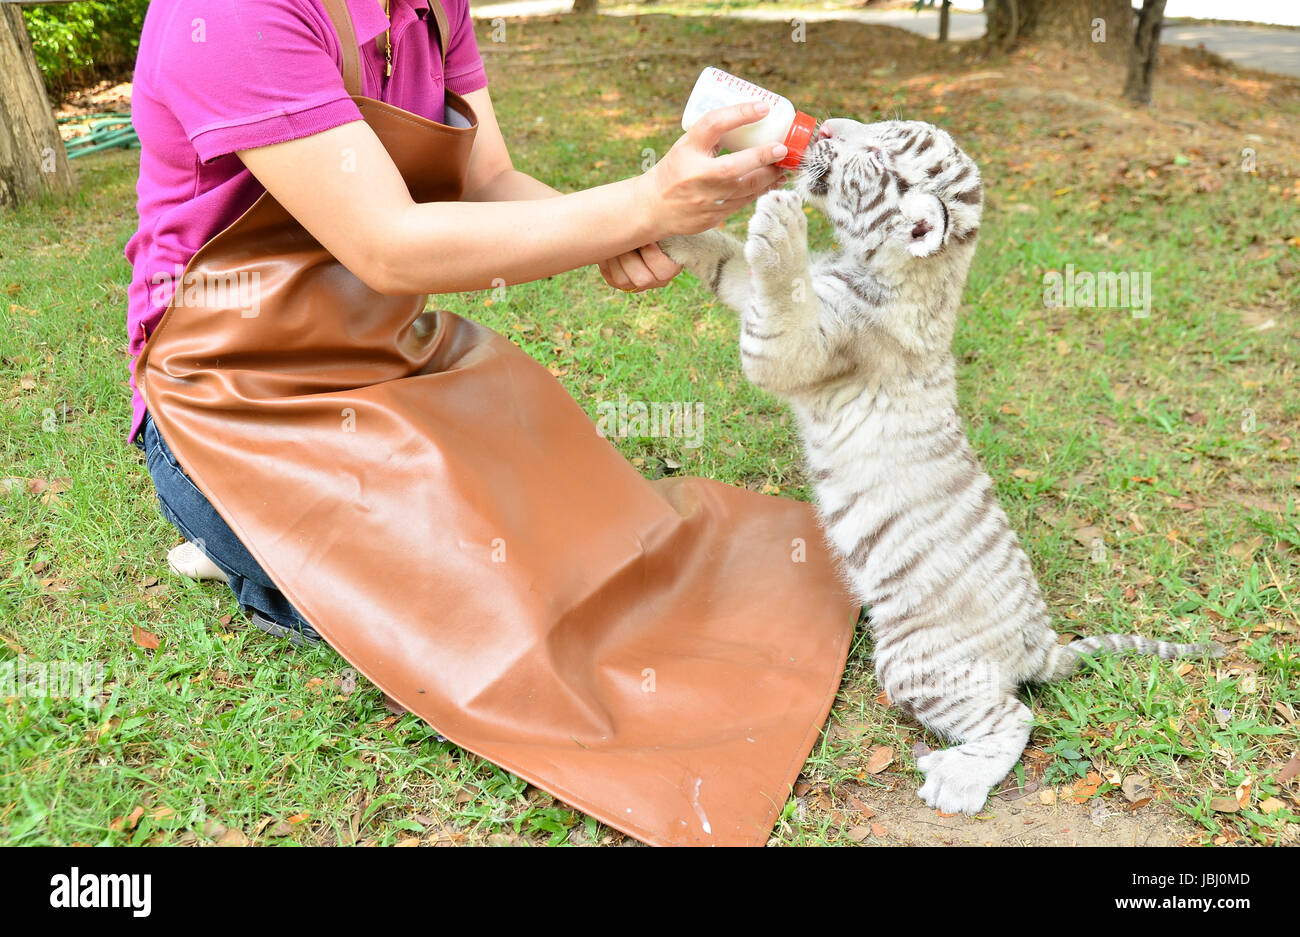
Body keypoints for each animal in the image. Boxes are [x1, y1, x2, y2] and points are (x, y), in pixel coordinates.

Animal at [660, 118, 1222, 815]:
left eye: (875, 151)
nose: (825, 127)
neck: (876, 266)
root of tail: (1040, 644)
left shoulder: (800, 348)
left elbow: (779, 300)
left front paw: (779, 221)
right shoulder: (762, 290)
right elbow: (726, 258)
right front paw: (668, 215)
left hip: (917, 663)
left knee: (1016, 718)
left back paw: (955, 782)